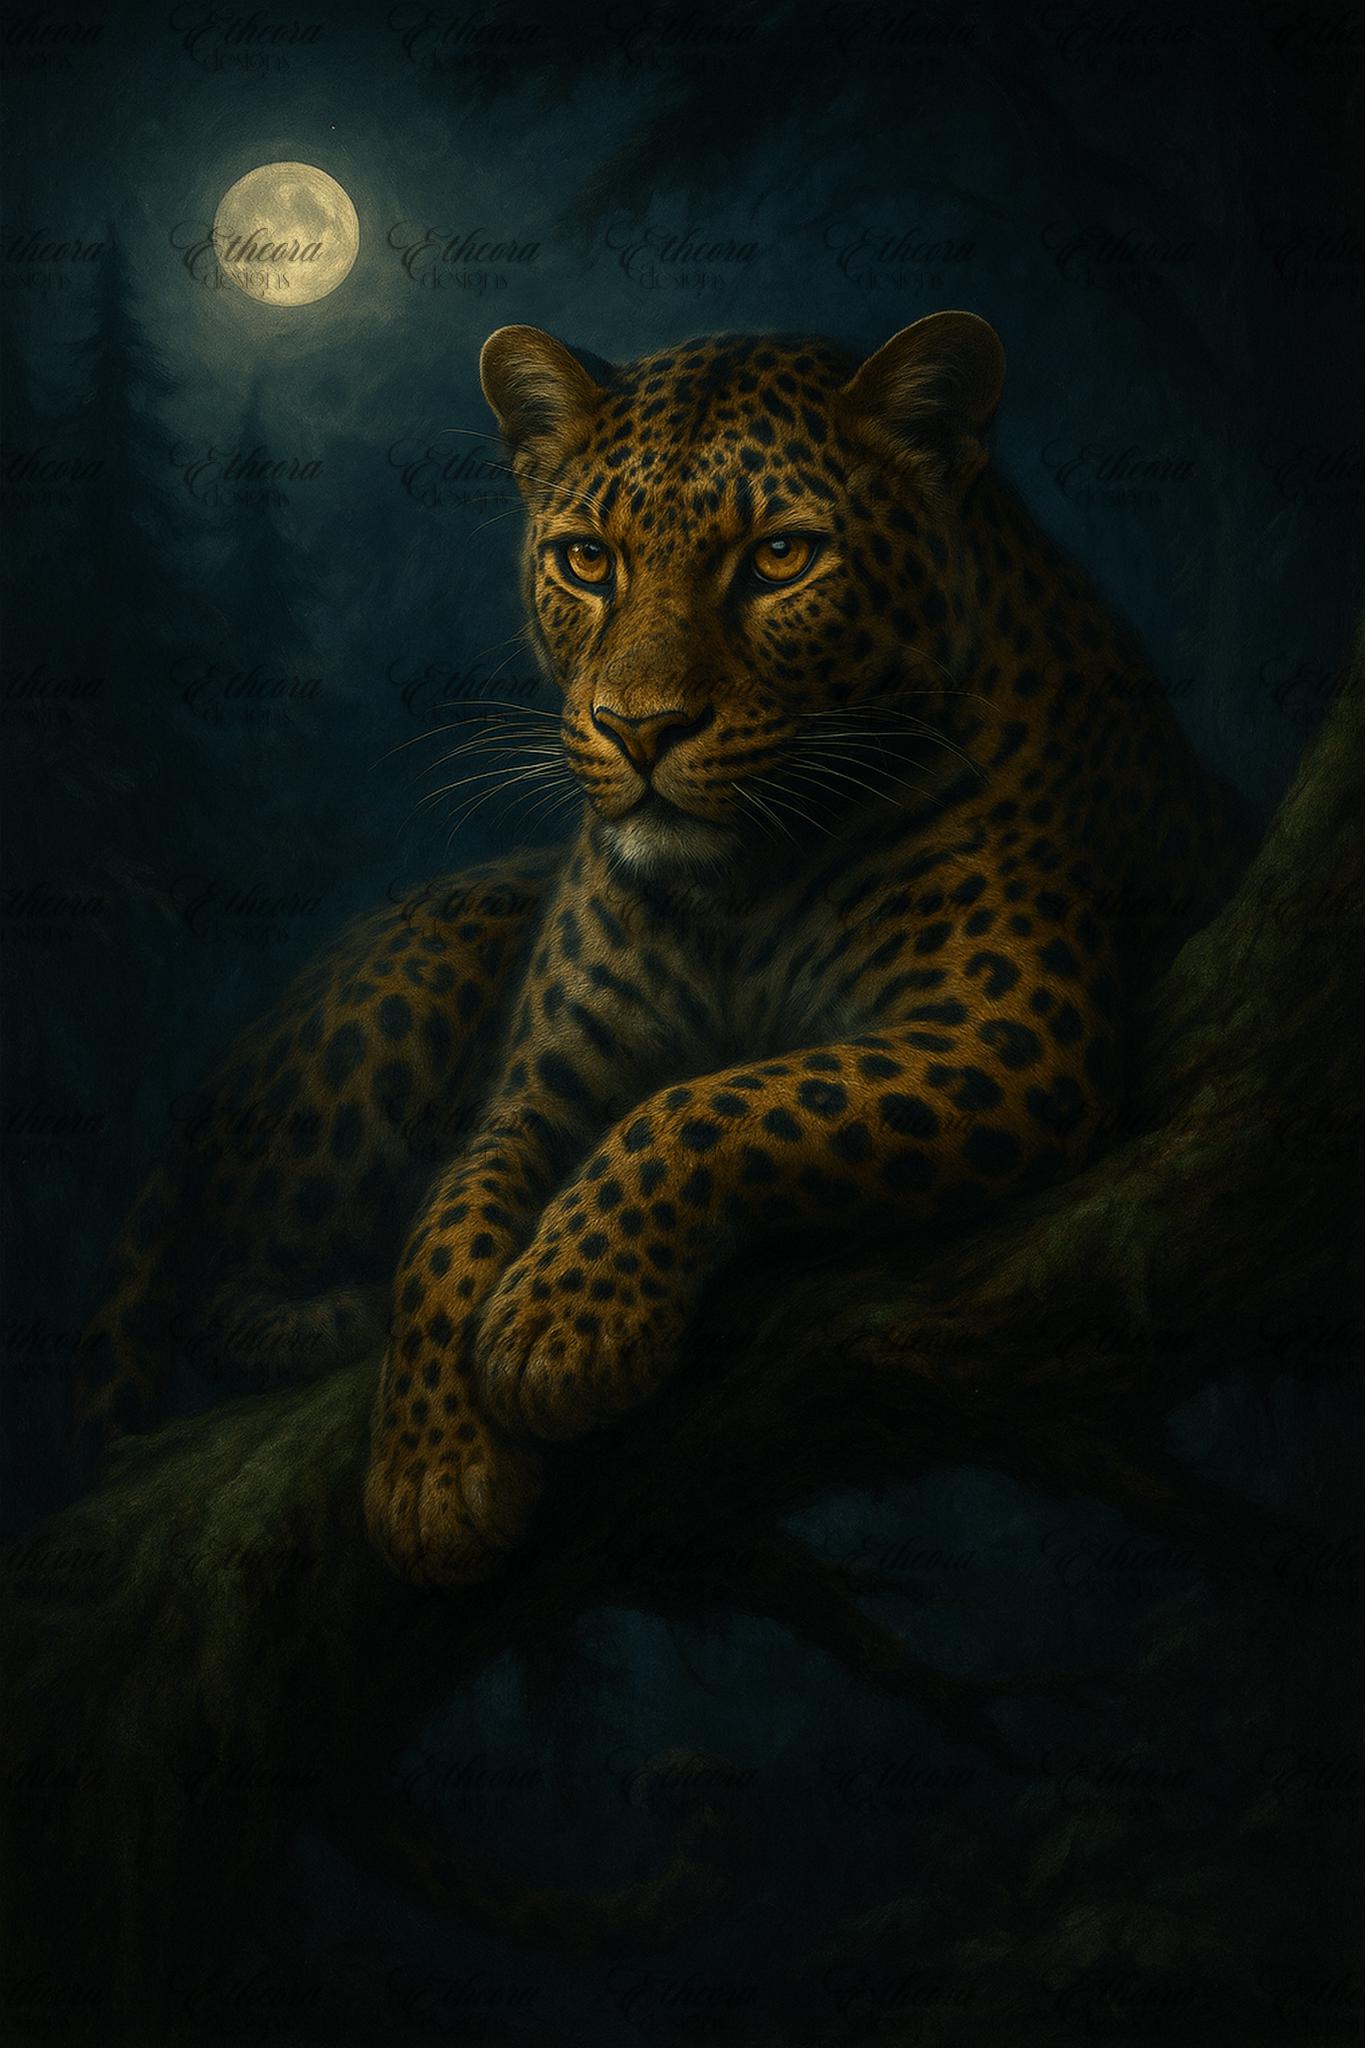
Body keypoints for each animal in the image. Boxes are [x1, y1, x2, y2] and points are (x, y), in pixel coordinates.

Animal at [77, 312, 1247, 1587]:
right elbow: (445, 1226)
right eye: (590, 561)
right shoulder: (540, 1083)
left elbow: (718, 1101)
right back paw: (334, 1316)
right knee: (219, 1282)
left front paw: (558, 1324)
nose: (640, 729)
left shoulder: (1019, 1021)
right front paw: (435, 1471)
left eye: (781, 557)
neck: (742, 888)